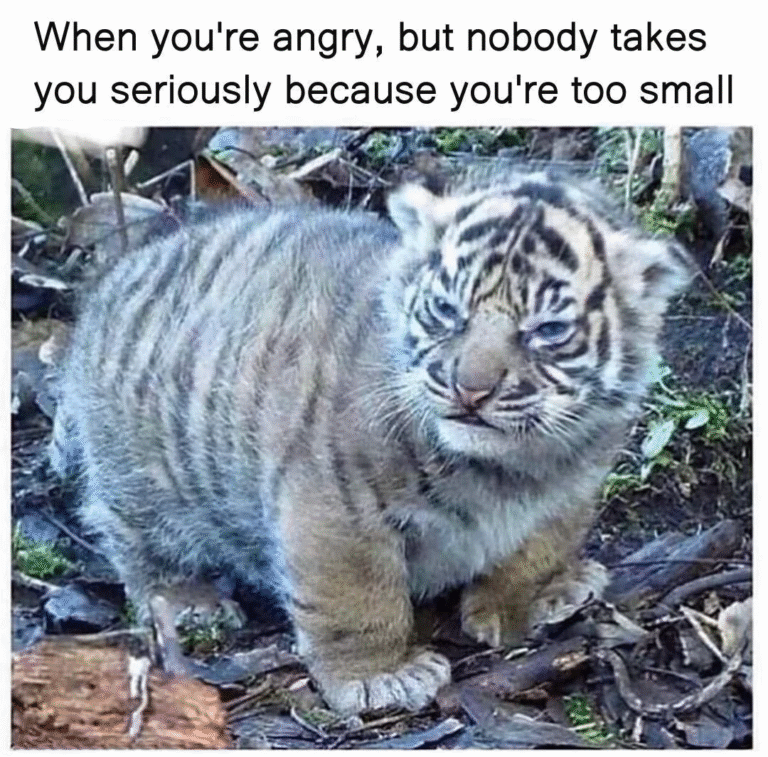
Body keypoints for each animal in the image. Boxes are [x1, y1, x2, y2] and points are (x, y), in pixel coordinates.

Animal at [50, 169, 692, 714]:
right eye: (446, 310)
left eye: (548, 331)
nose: (470, 390)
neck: (515, 467)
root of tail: (106, 292)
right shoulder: (338, 508)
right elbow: (356, 596)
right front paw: (377, 678)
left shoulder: (570, 490)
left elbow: (537, 549)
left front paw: (535, 596)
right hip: (144, 478)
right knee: (134, 541)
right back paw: (189, 602)